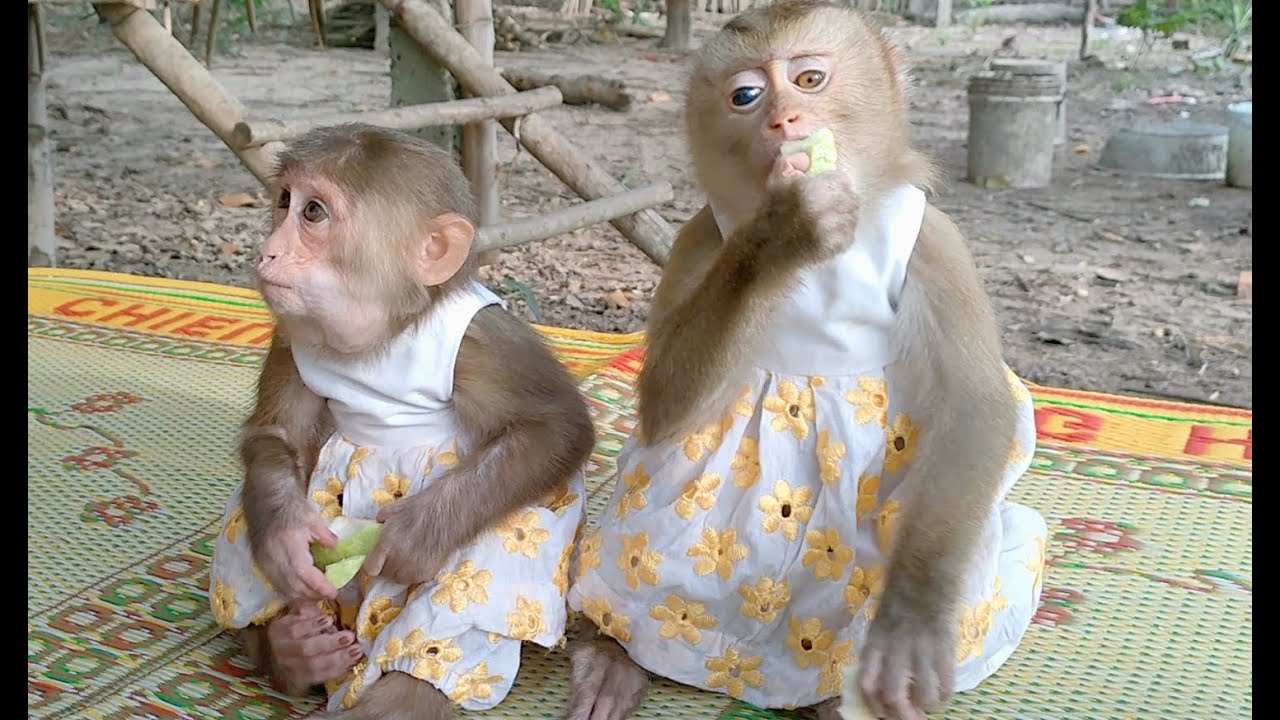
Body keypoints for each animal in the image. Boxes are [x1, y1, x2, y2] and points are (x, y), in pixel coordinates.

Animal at [205, 123, 597, 720]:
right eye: (283, 202)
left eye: (313, 213)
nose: (269, 249)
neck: (389, 332)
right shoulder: (289, 333)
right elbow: (277, 436)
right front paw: (286, 540)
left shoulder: (484, 344)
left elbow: (555, 428)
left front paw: (410, 538)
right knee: (243, 514)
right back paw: (293, 651)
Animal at [563, 3, 1048, 720]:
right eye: (746, 96)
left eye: (810, 79)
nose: (785, 120)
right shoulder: (698, 237)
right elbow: (663, 408)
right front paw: (785, 230)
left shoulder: (937, 242)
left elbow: (977, 407)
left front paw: (909, 622)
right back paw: (612, 653)